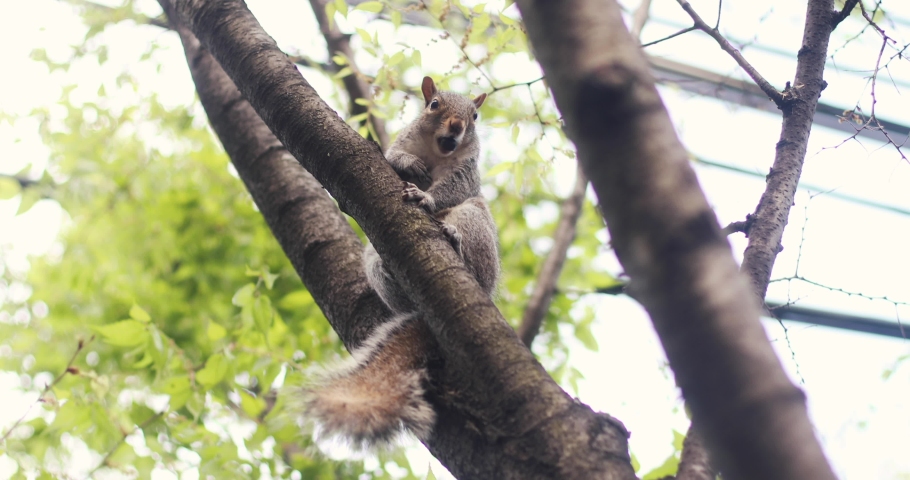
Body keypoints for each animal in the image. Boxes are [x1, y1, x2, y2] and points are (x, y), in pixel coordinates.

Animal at [296, 77, 500, 447]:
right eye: (433, 105)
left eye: (475, 116)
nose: (457, 125)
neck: (437, 151)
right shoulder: (399, 146)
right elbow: (394, 157)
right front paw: (410, 165)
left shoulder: (466, 172)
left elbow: (451, 190)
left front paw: (426, 197)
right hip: (376, 260)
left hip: (476, 228)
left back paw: (453, 239)